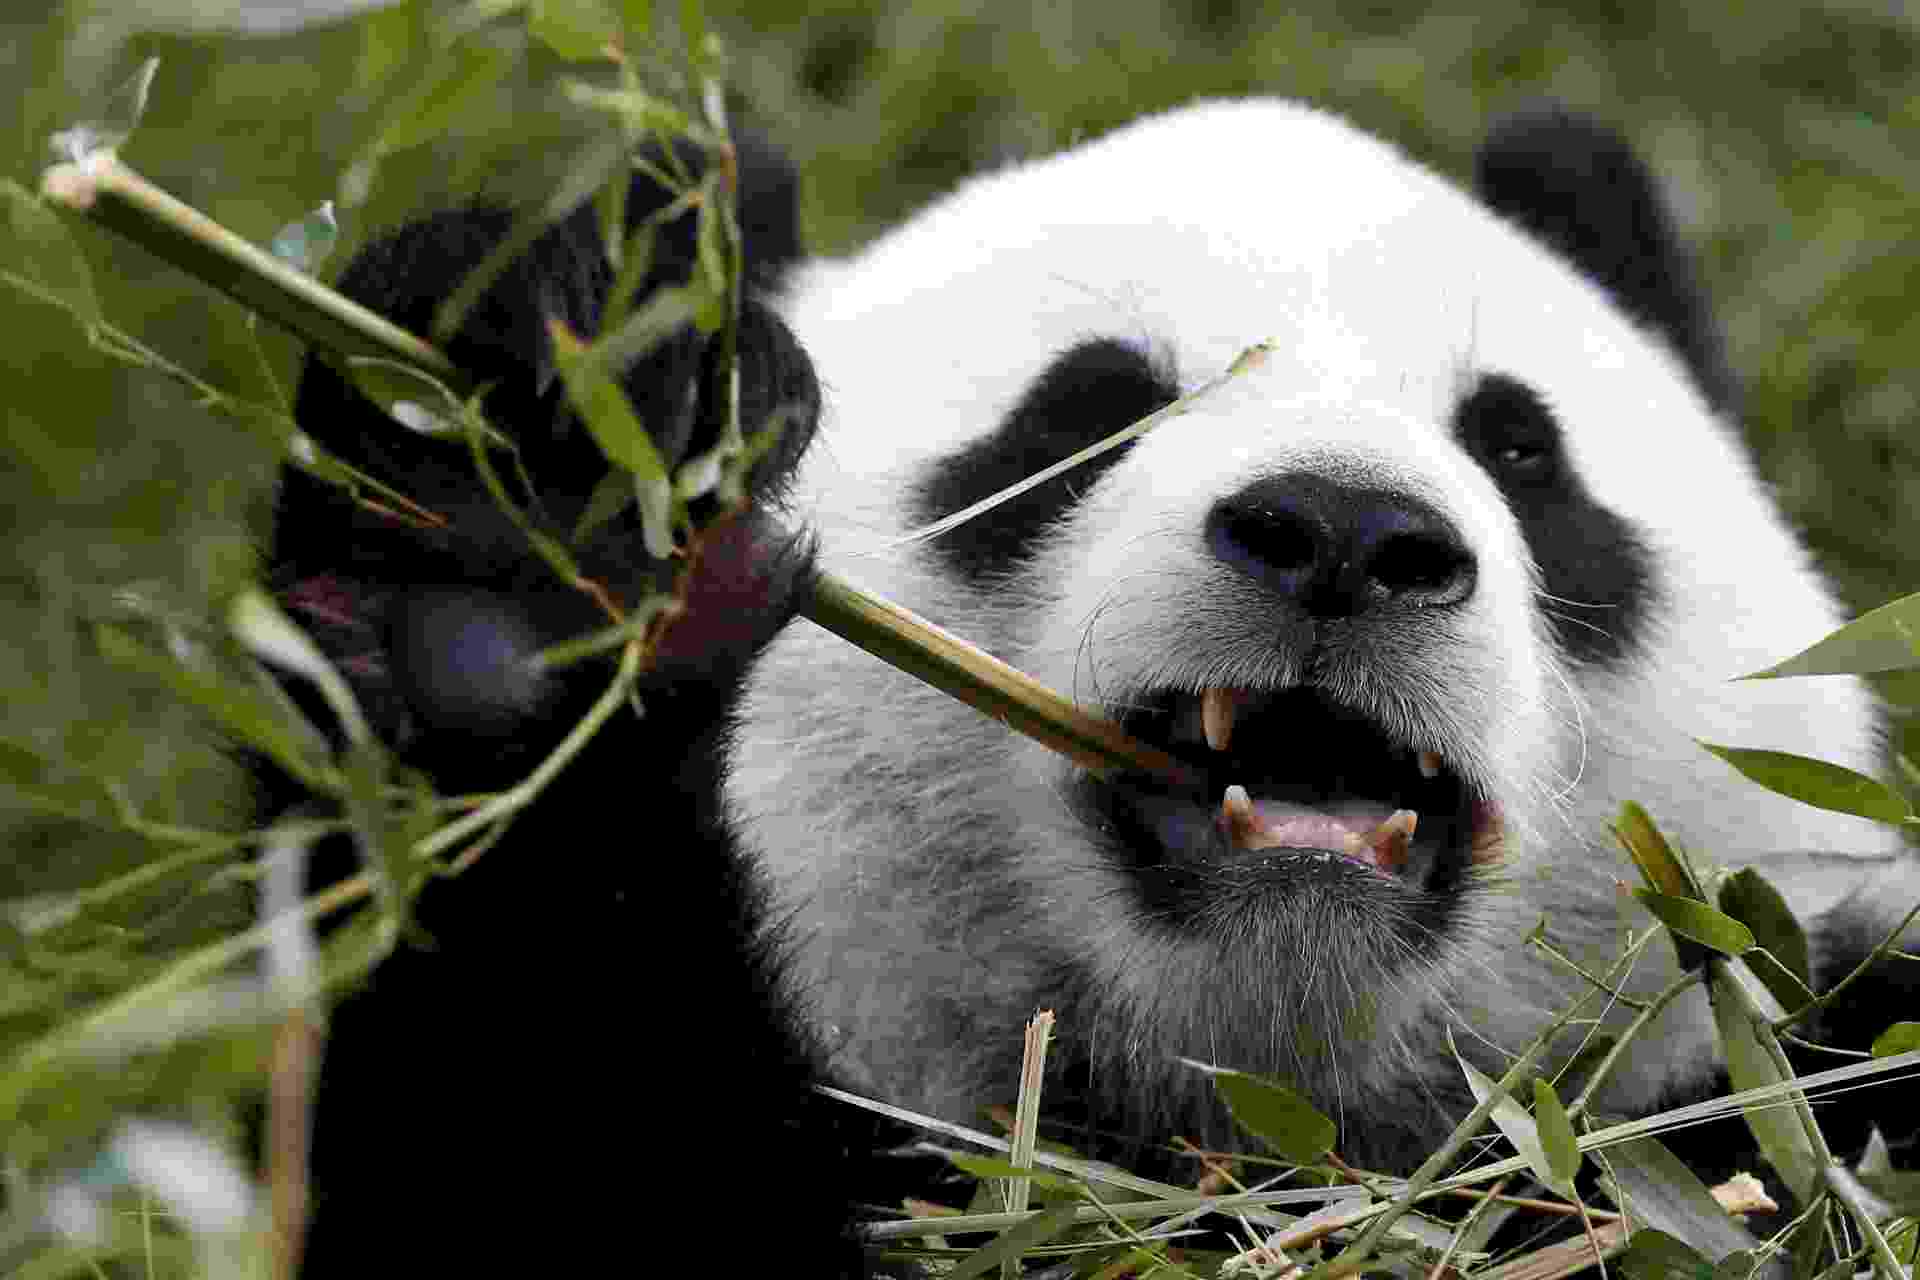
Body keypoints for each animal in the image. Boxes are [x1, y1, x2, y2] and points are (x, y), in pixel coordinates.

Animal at [271, 100, 1918, 1273]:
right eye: (1088, 415)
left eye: (1523, 449)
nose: (1342, 531)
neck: (1248, 1136)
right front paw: (529, 530)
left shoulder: (1774, 1087)